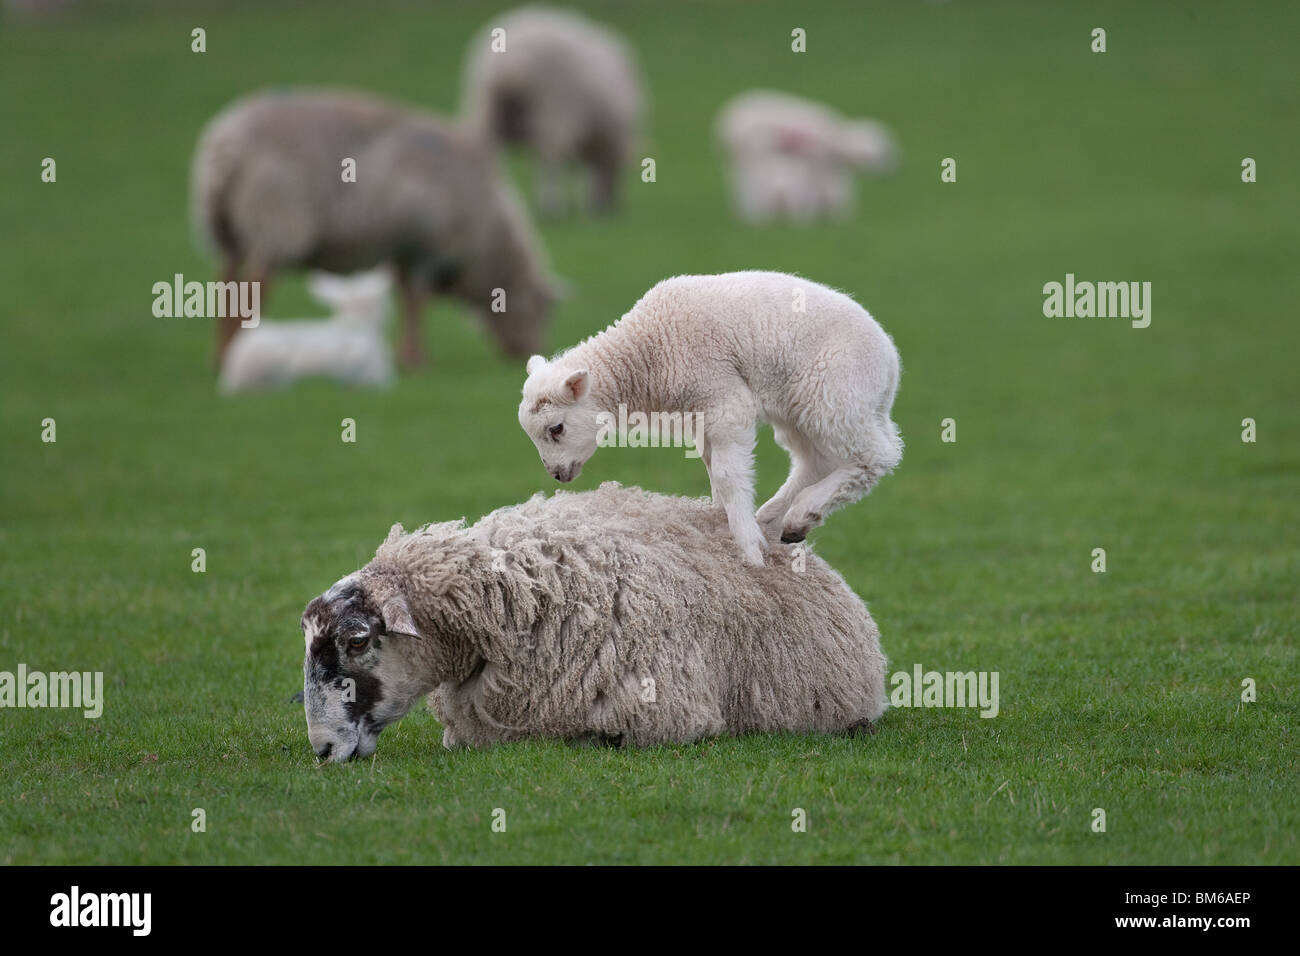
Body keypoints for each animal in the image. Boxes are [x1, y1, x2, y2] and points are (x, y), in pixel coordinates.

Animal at [191, 88, 562, 367]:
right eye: (538, 309)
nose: (526, 352)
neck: (489, 240)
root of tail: (227, 147)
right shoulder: (428, 248)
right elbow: (416, 301)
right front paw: (416, 359)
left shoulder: (402, 249)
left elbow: (405, 296)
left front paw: (405, 356)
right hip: (274, 221)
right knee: (257, 284)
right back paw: (239, 348)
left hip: (225, 230)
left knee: (227, 283)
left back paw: (221, 356)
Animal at [461, 6, 644, 216]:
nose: (611, 207)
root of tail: (511, 63)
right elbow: (589, 172)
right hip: (552, 112)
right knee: (551, 161)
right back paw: (552, 206)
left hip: (487, 110)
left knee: (491, 155)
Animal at [518, 272, 903, 567]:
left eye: (556, 428)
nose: (557, 475)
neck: (648, 351)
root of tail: (891, 363)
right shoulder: (701, 411)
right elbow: (711, 467)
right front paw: (723, 522)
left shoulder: (723, 396)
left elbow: (727, 475)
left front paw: (748, 548)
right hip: (800, 406)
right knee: (814, 460)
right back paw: (782, 520)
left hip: (835, 395)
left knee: (876, 457)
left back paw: (800, 512)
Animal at [716, 90, 898, 223]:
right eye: (883, 153)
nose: (894, 170)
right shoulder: (817, 163)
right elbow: (826, 189)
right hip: (752, 156)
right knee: (748, 186)